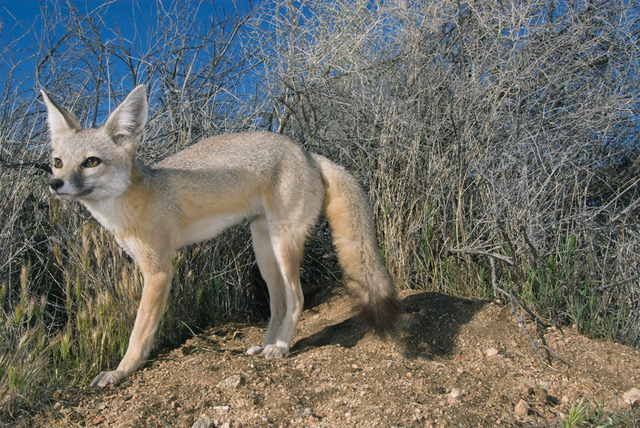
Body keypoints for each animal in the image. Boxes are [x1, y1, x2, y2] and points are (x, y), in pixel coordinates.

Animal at [41, 85, 398, 387]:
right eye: (57, 163)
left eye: (91, 162)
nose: (55, 184)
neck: (131, 201)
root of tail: (308, 153)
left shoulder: (158, 271)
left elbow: (139, 332)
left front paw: (121, 371)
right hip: (264, 252)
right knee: (280, 304)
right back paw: (265, 347)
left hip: (283, 245)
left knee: (297, 299)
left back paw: (280, 349)